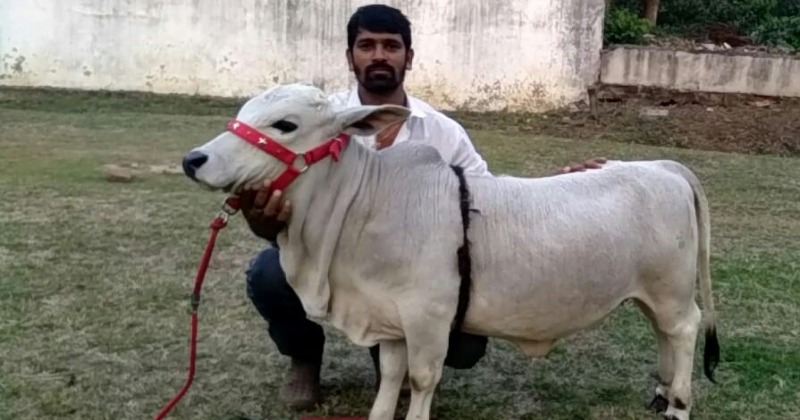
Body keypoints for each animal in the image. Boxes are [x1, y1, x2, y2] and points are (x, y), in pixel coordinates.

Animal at [180, 83, 720, 420]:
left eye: (285, 124)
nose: (193, 159)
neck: (365, 205)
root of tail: (662, 165)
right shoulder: (390, 319)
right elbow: (389, 378)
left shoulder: (428, 316)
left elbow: (421, 380)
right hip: (650, 294)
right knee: (665, 335)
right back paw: (661, 391)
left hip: (671, 291)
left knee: (685, 330)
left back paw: (678, 403)